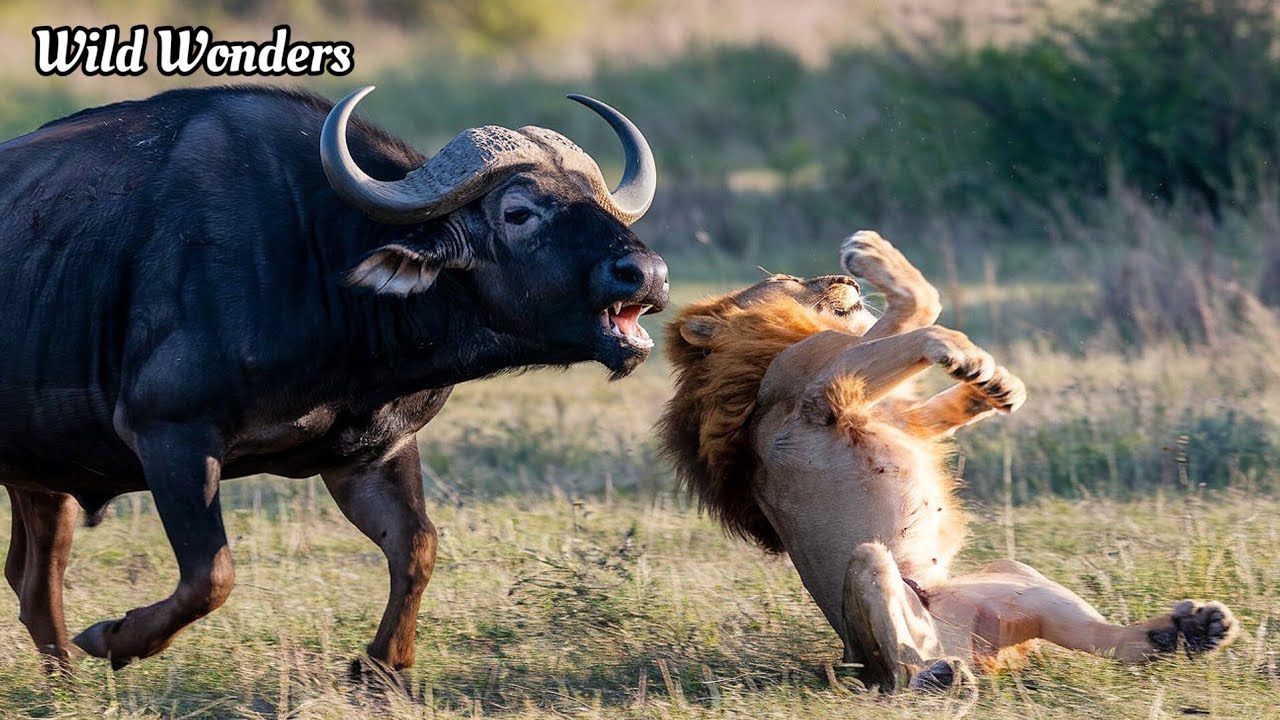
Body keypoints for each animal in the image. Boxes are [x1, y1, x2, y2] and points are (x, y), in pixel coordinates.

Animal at [0, 85, 667, 672]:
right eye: (519, 211)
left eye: (597, 198)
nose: (647, 274)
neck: (317, 257)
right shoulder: (171, 434)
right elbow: (211, 576)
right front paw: (113, 637)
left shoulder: (371, 451)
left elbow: (417, 546)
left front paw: (381, 667)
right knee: (39, 582)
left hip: (43, 481)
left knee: (33, 581)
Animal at [657, 231, 1238, 691]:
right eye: (786, 279)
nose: (840, 279)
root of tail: (965, 646)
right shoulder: (824, 386)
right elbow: (922, 308)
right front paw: (878, 261)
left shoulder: (894, 413)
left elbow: (925, 366)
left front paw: (997, 384)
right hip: (871, 572)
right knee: (895, 671)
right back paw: (934, 679)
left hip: (1013, 581)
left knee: (1106, 639)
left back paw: (1186, 634)